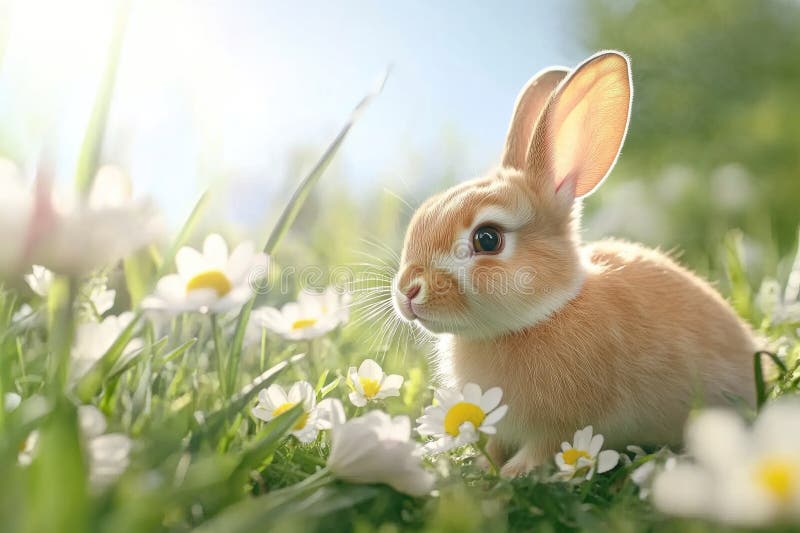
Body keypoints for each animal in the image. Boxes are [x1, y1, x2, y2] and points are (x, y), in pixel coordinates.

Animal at [391, 51, 756, 477]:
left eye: (487, 239)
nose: (408, 291)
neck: (544, 313)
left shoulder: (562, 425)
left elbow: (541, 449)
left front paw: (513, 473)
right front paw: (485, 468)